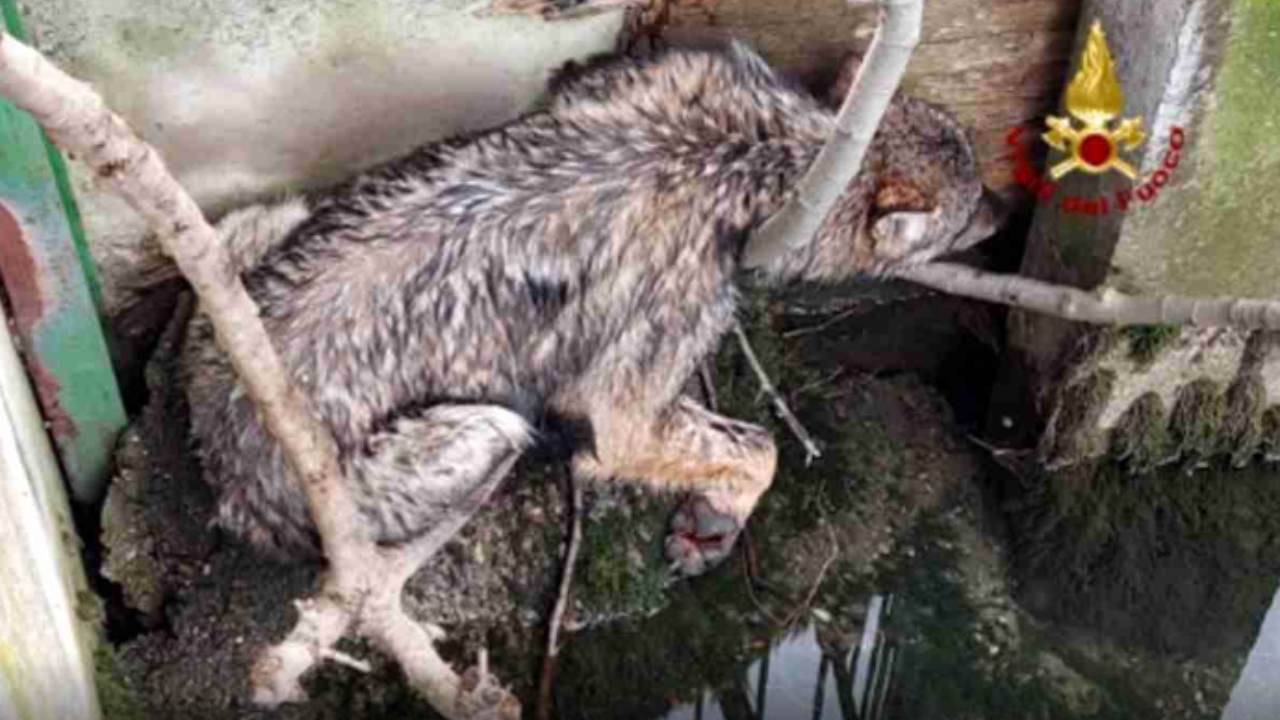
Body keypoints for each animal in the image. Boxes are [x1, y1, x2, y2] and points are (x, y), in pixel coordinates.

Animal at [172, 41, 1000, 576]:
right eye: (965, 215)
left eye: (977, 176)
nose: (1004, 212)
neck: (767, 154)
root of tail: (223, 477)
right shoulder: (632, 400)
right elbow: (758, 448)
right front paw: (718, 521)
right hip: (484, 429)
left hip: (257, 229)